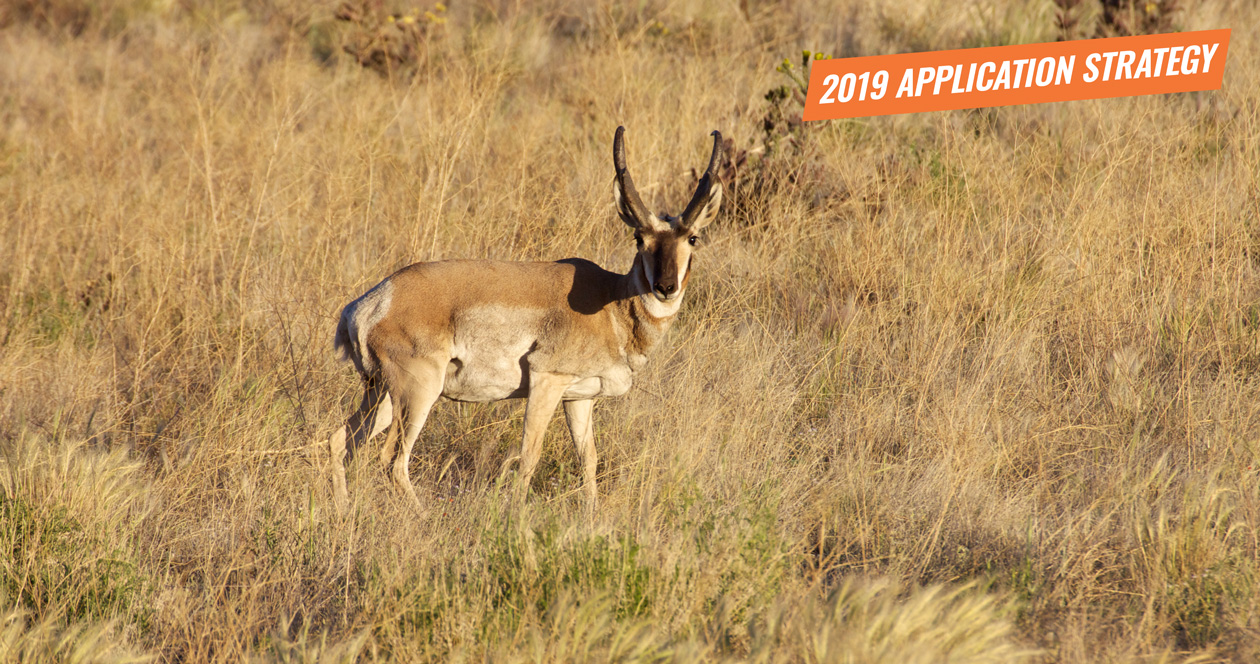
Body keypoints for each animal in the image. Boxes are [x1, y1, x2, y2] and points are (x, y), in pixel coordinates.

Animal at [328, 126, 723, 513]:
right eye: (639, 237)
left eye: (693, 237)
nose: (665, 287)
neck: (611, 303)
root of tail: (373, 301)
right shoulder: (547, 381)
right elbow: (529, 456)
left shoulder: (578, 398)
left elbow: (588, 459)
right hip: (418, 393)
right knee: (392, 460)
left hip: (381, 395)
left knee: (340, 440)